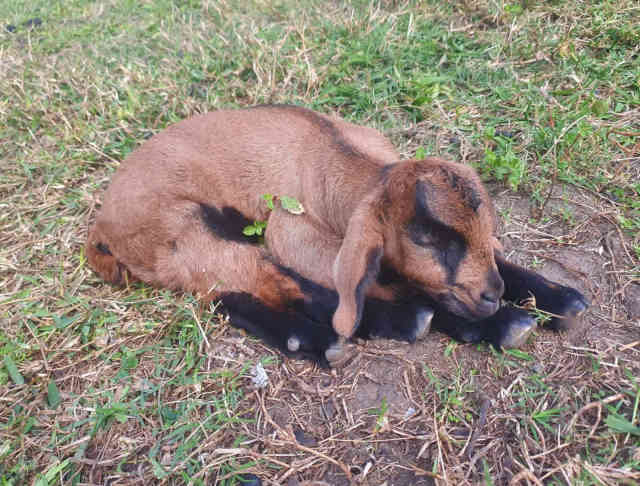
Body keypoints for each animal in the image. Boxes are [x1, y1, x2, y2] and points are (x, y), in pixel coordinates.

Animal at [86, 105, 589, 367]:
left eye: (485, 229)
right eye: (428, 239)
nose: (491, 295)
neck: (339, 159)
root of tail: (102, 226)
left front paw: (559, 298)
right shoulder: (293, 230)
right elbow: (380, 277)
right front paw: (497, 320)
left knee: (223, 295)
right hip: (182, 226)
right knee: (263, 279)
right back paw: (387, 324)